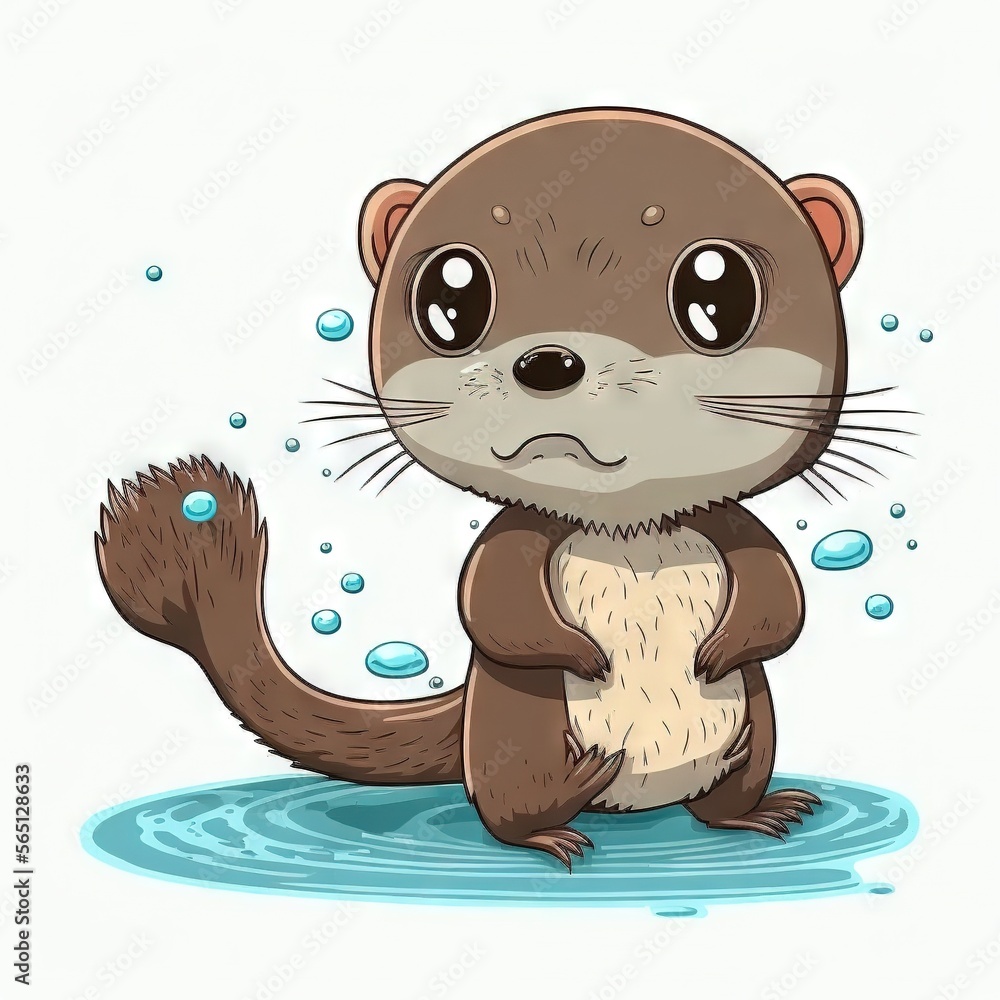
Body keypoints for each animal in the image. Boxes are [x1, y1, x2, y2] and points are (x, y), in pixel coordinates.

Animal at [96, 108, 868, 867]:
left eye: (719, 293)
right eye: (450, 296)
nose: (550, 362)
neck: (624, 527)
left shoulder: (733, 526)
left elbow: (780, 597)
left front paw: (720, 647)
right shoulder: (514, 540)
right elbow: (494, 606)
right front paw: (584, 654)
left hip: (755, 730)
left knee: (725, 796)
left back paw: (754, 812)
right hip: (514, 734)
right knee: (512, 807)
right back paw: (563, 807)